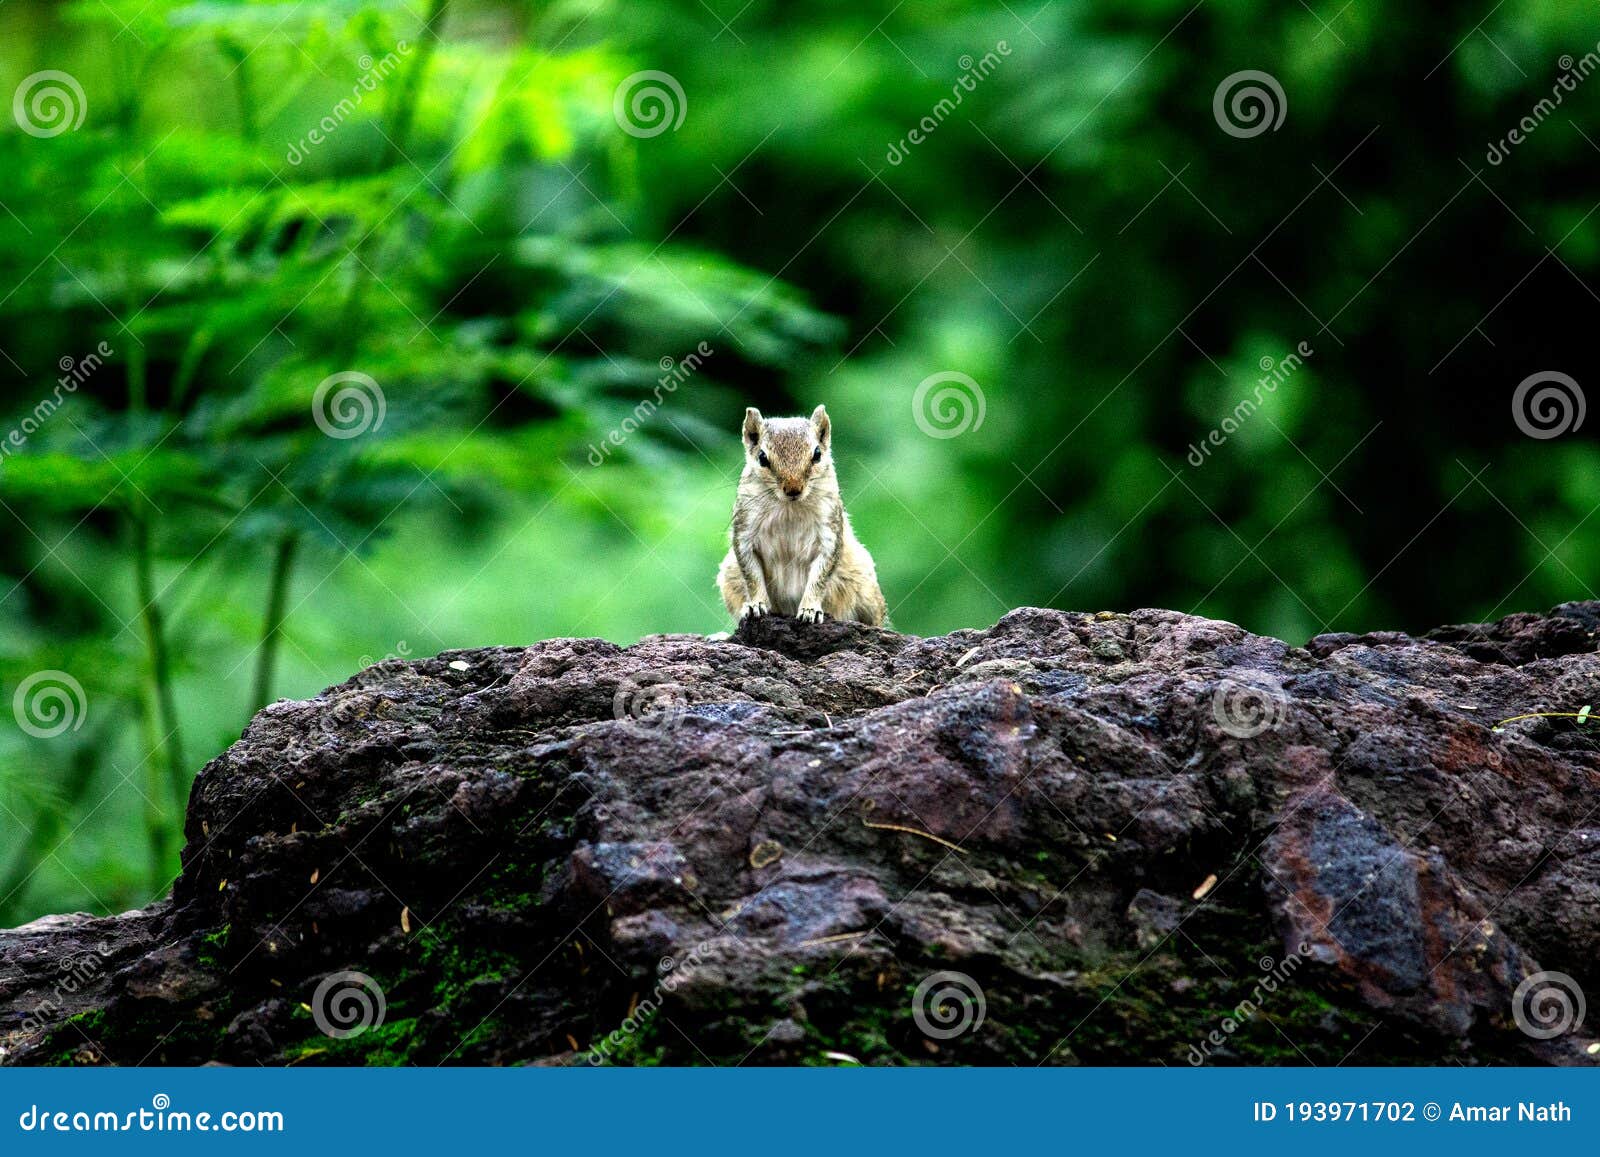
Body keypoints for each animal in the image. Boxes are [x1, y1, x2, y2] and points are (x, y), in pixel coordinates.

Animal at [717, 405, 887, 626]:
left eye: (817, 454)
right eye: (762, 457)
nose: (793, 488)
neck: (789, 508)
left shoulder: (829, 532)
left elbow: (820, 577)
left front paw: (810, 609)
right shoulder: (745, 531)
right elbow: (751, 575)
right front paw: (756, 605)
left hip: (865, 588)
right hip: (729, 577)